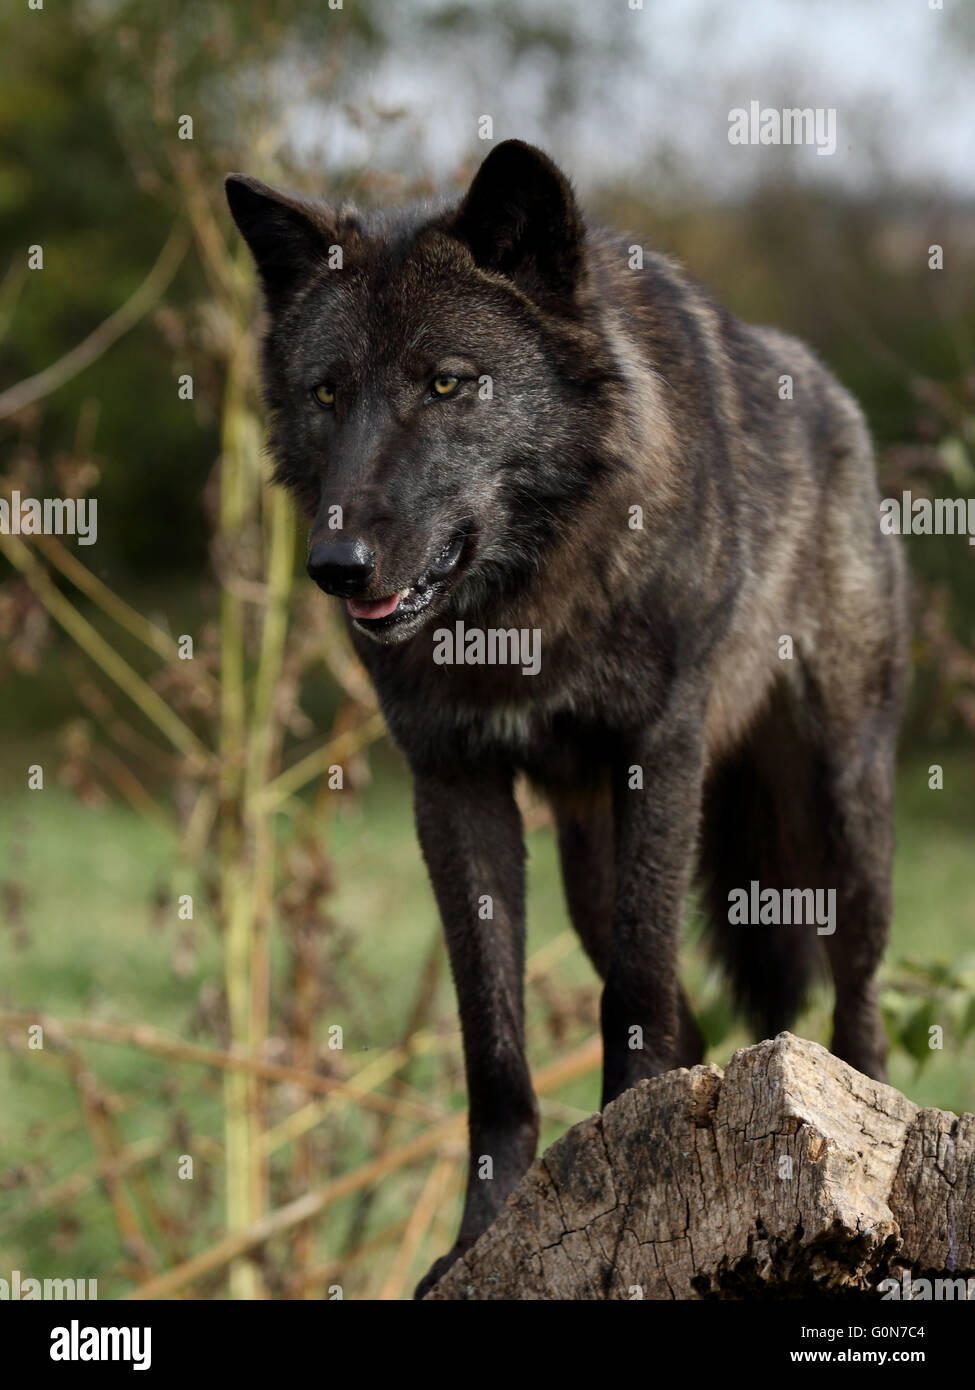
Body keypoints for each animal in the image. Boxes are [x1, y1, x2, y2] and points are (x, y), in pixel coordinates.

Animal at [226, 140, 908, 1297]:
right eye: (326, 391)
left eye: (446, 382)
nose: (335, 564)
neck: (521, 609)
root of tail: (833, 394)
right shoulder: (452, 786)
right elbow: (493, 1044)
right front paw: (481, 1235)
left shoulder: (661, 758)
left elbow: (631, 993)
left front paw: (639, 1180)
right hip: (599, 868)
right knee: (684, 1006)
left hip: (841, 808)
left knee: (853, 1006)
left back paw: (860, 1118)